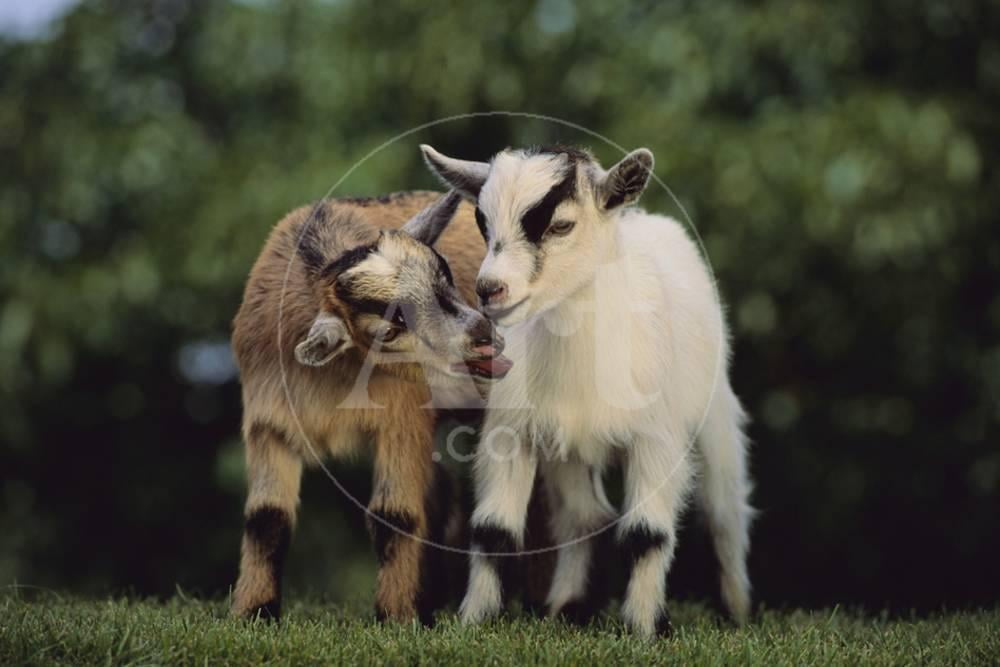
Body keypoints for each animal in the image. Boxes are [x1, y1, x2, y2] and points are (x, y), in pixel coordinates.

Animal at [230, 190, 515, 624]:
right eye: (392, 324)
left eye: (445, 276)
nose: (482, 333)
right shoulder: (268, 419)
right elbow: (266, 517)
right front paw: (253, 612)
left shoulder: (402, 416)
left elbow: (393, 514)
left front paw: (395, 617)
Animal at [421, 144, 754, 636]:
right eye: (483, 222)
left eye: (561, 225)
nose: (489, 289)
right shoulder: (512, 433)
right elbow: (493, 529)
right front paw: (473, 621)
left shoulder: (656, 439)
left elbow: (647, 533)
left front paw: (643, 630)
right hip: (571, 453)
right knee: (584, 515)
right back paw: (565, 606)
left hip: (716, 415)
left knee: (725, 511)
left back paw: (738, 611)